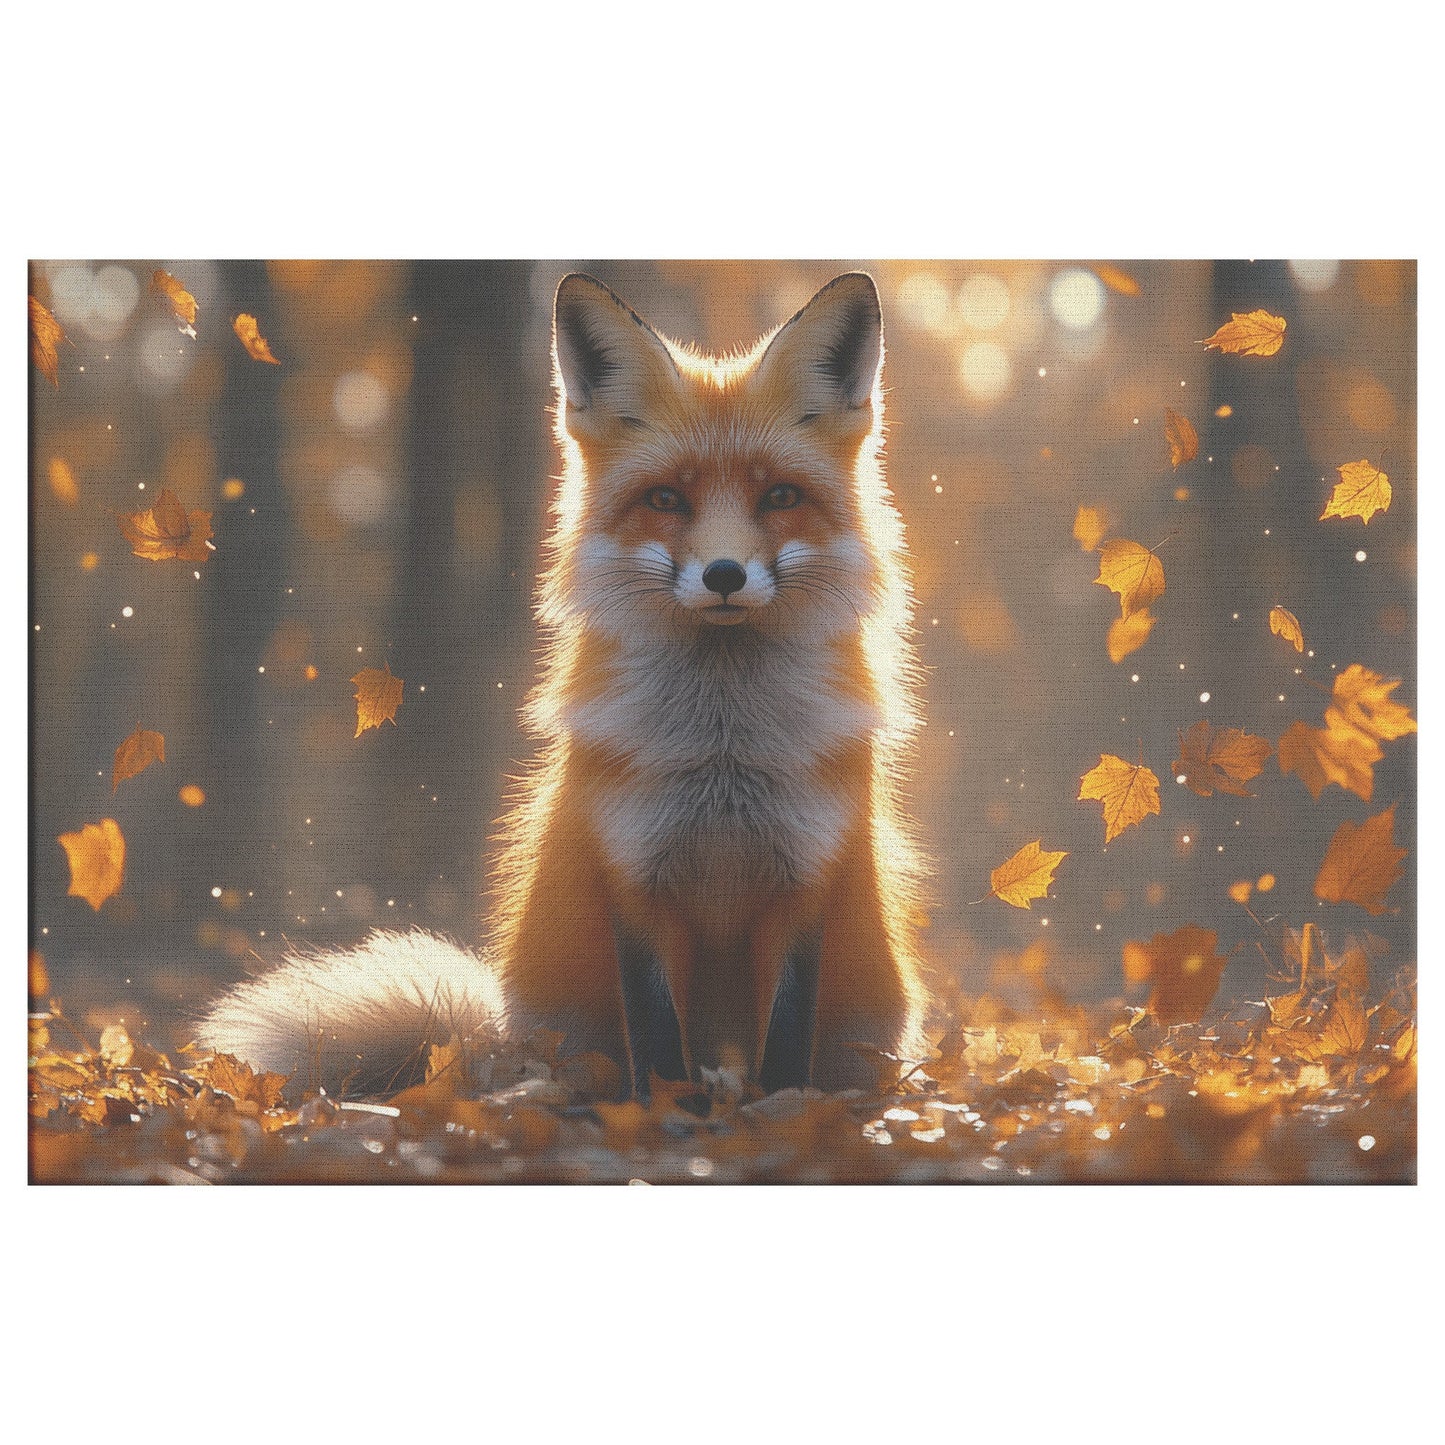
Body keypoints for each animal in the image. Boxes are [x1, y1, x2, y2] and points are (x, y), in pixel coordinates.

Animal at [196, 270, 931, 1097]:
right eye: (665, 499)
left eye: (778, 496)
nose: (723, 574)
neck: (722, 751)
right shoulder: (633, 878)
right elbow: (656, 1040)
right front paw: (662, 1113)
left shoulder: (806, 880)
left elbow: (784, 1045)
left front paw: (785, 1112)